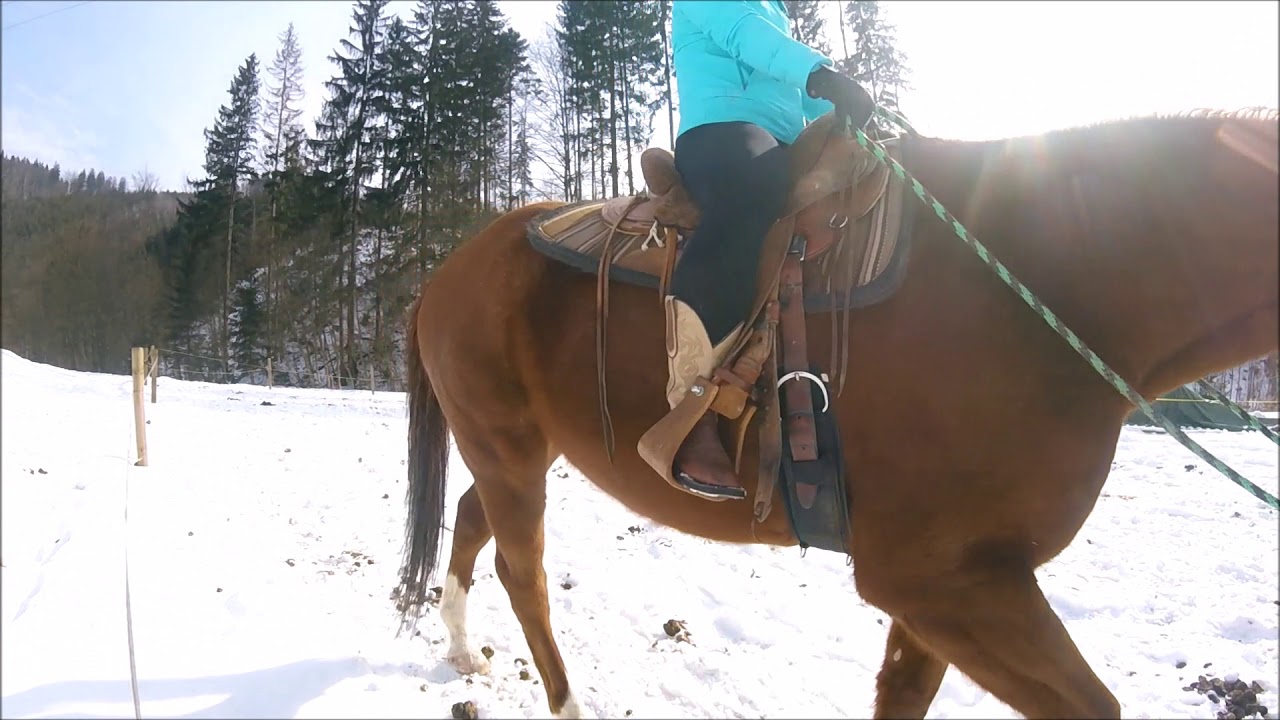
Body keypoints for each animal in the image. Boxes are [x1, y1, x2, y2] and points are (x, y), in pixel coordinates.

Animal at [393, 107, 1278, 719]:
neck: (1041, 288)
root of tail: (448, 270)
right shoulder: (941, 582)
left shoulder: (947, 594)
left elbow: (902, 696)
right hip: (504, 444)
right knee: (525, 572)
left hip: (522, 446)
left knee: (470, 519)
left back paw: (464, 651)